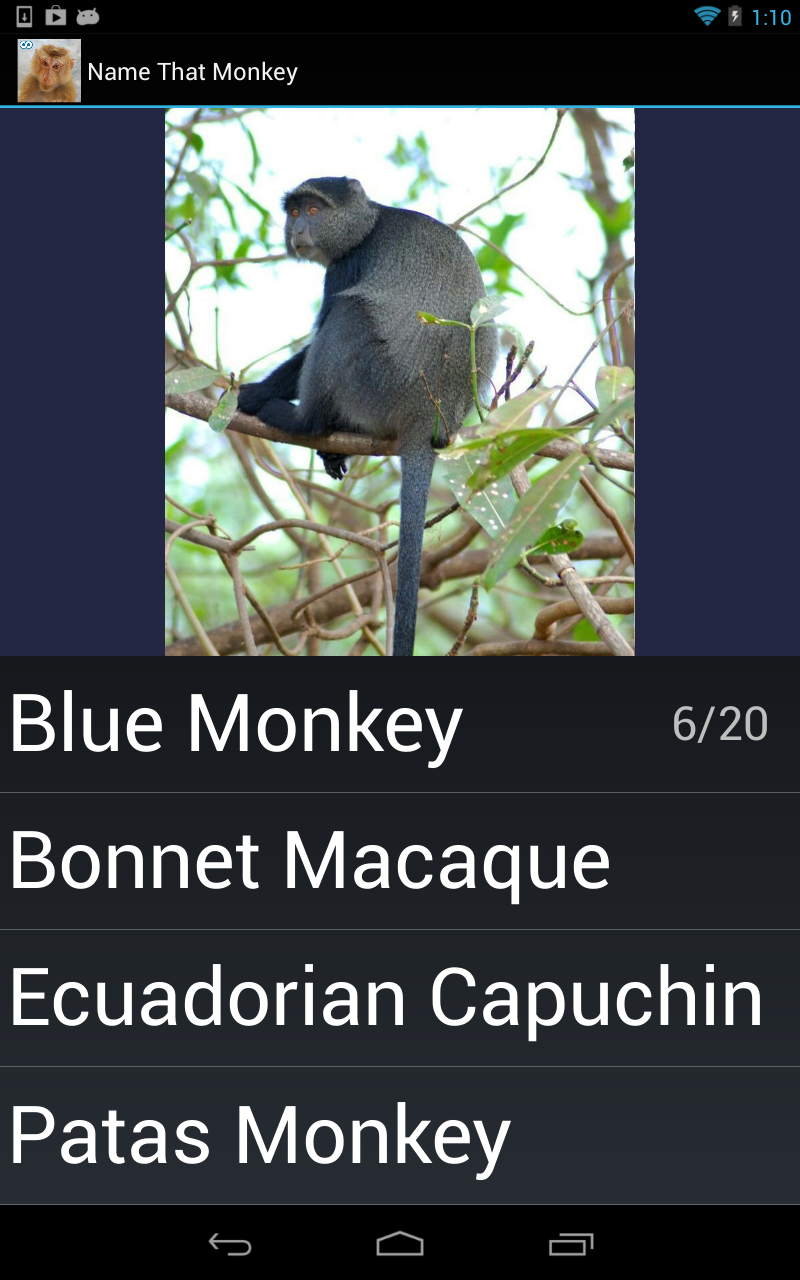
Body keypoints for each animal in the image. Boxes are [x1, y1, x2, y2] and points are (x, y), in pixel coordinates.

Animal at [237, 177, 498, 657]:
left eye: (314, 211)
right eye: (294, 211)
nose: (297, 229)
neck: (370, 221)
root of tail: (432, 417)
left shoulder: (345, 266)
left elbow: (323, 326)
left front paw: (255, 394)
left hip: (380, 381)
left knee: (348, 315)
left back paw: (304, 422)